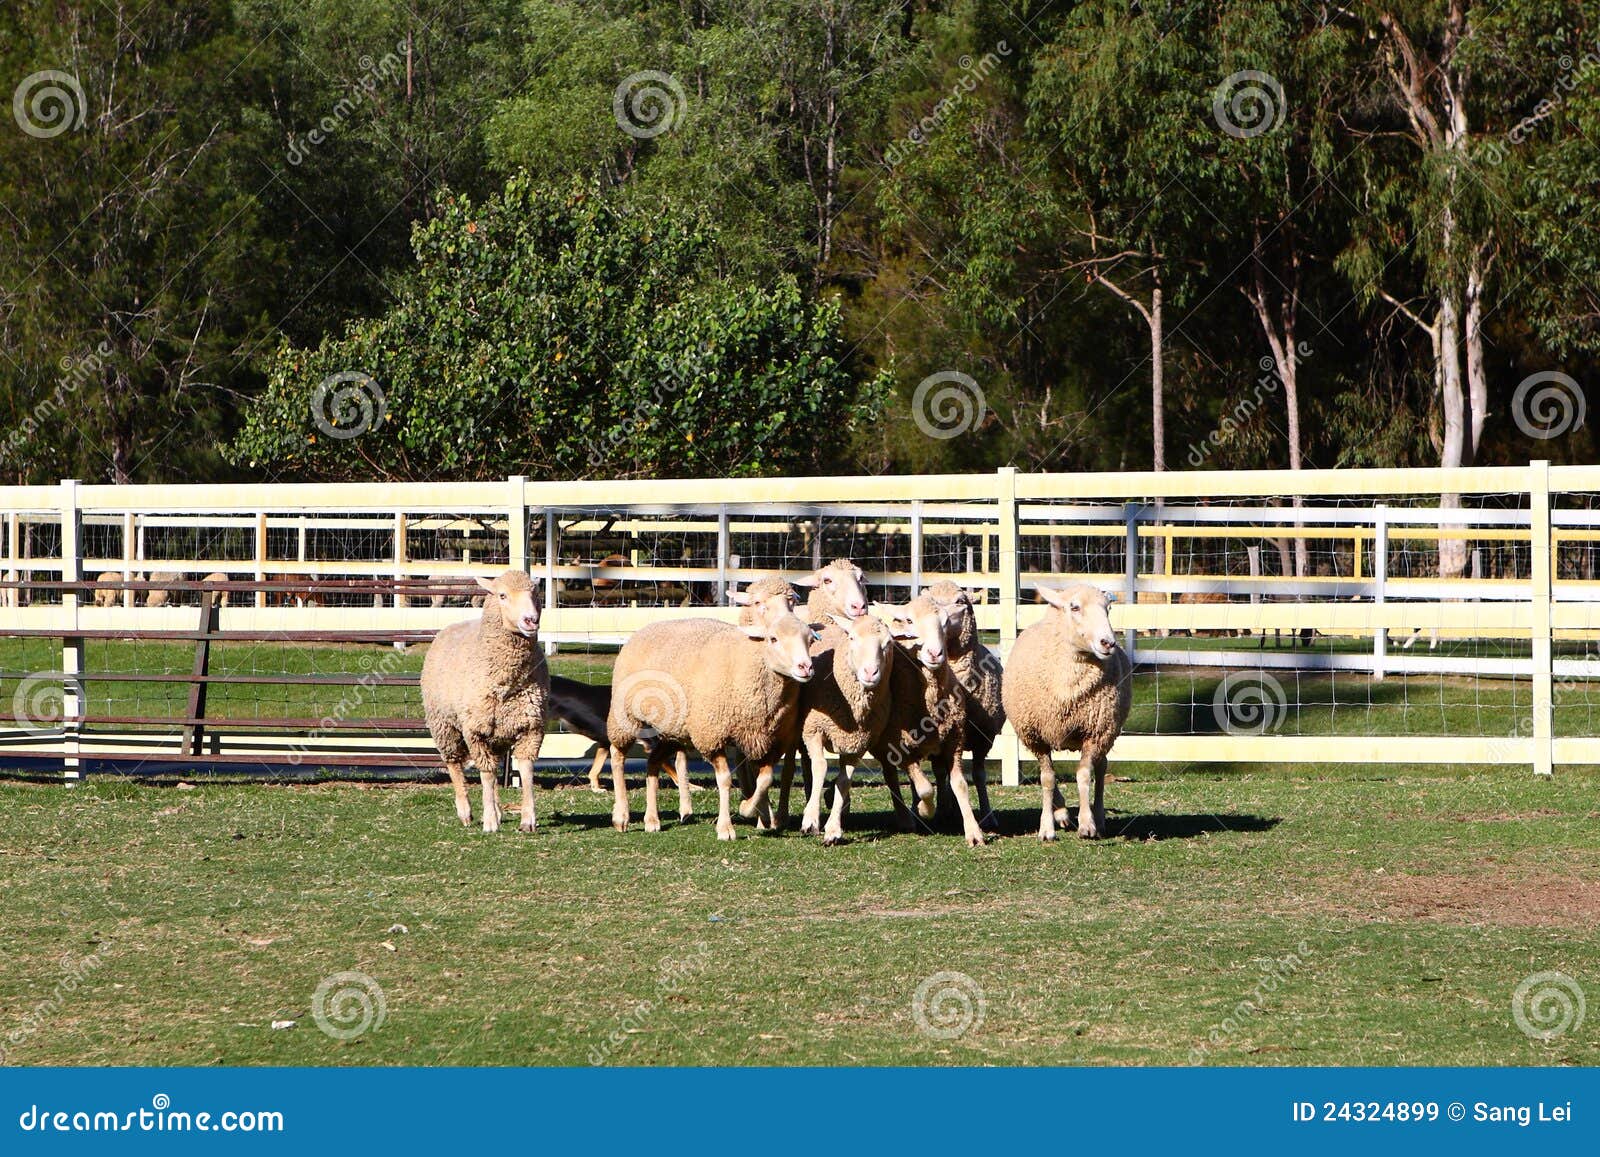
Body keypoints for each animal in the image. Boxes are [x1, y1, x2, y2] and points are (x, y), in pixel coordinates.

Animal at [420, 569, 549, 833]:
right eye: (502, 595)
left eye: (535, 593)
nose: (531, 620)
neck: (507, 681)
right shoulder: (476, 731)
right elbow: (486, 774)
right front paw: (489, 821)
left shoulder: (532, 727)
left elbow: (526, 772)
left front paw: (528, 819)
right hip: (444, 725)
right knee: (454, 764)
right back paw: (466, 812)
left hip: (498, 734)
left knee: (495, 765)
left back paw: (499, 810)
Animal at [607, 611, 814, 840]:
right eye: (773, 639)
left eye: (810, 640)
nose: (806, 667)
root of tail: (642, 630)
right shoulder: (712, 736)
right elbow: (724, 780)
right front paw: (726, 828)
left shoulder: (767, 740)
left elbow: (765, 779)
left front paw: (754, 811)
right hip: (624, 716)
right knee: (617, 757)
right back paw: (621, 816)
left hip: (672, 732)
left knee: (652, 762)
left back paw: (652, 820)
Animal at [794, 612, 895, 843]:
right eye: (852, 638)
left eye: (887, 643)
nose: (870, 672)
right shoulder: (813, 729)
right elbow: (820, 767)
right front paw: (810, 820)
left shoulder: (858, 745)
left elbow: (844, 781)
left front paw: (833, 830)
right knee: (808, 766)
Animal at [922, 580, 1005, 831]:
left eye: (960, 601)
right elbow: (942, 774)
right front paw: (942, 810)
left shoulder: (984, 738)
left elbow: (978, 775)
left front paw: (988, 816)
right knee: (941, 773)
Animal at [1001, 583, 1132, 841]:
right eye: (1075, 607)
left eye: (1108, 608)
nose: (1108, 643)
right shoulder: (1037, 737)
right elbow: (1048, 779)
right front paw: (1046, 828)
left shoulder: (1095, 733)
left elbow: (1084, 774)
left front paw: (1087, 824)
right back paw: (1060, 813)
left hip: (1107, 732)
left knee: (1101, 767)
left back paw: (1098, 817)